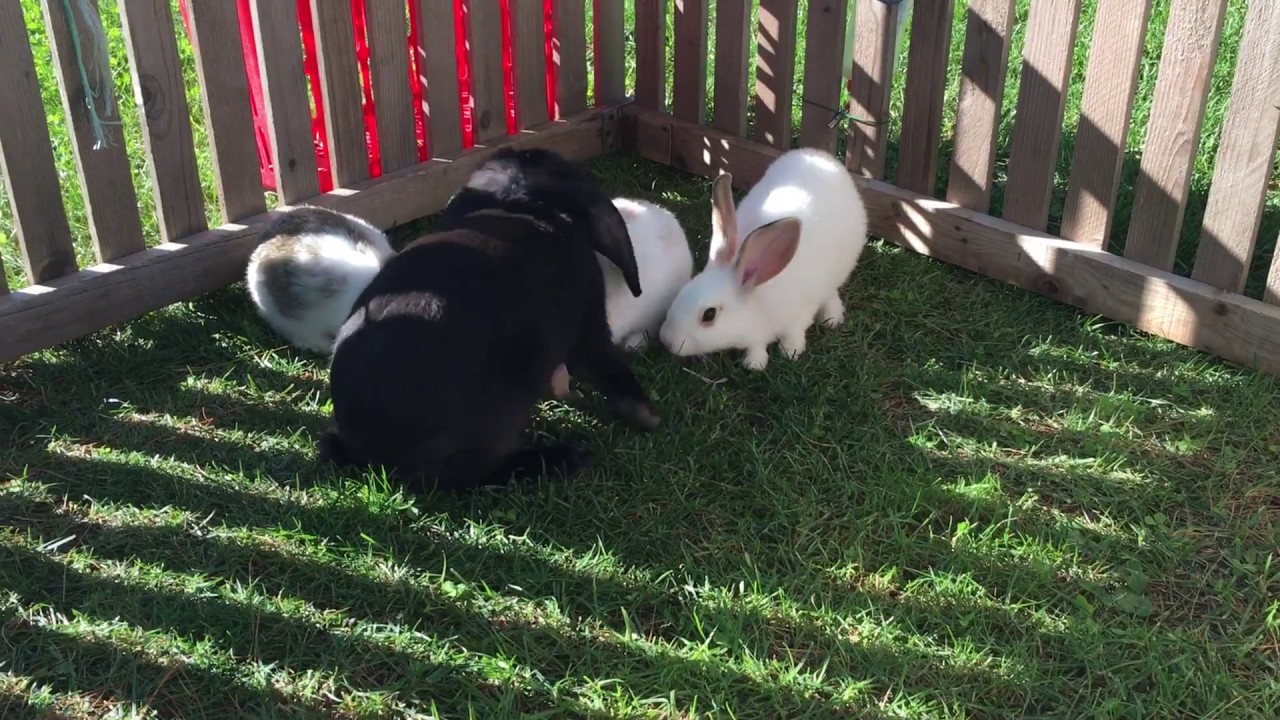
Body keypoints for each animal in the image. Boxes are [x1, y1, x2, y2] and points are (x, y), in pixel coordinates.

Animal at [319, 147, 661, 494]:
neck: (517, 205)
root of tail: (372, 453)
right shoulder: (588, 326)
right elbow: (612, 372)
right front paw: (650, 417)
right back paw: (561, 458)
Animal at [657, 147, 869, 371]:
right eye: (681, 292)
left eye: (709, 314)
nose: (666, 340)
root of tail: (819, 156)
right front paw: (754, 362)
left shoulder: (798, 315)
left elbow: (794, 333)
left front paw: (790, 351)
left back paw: (832, 317)